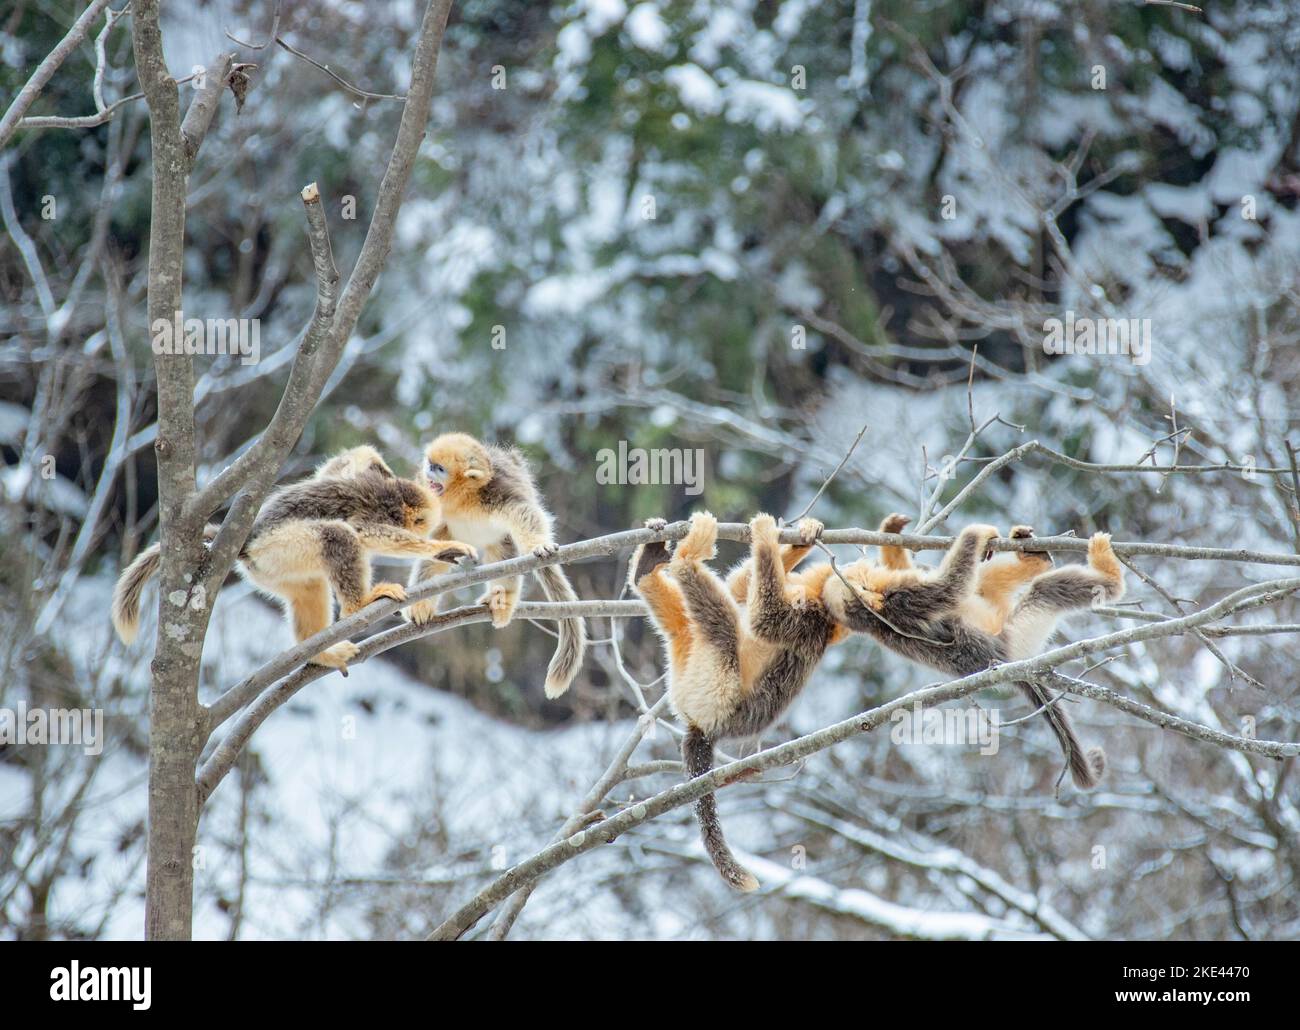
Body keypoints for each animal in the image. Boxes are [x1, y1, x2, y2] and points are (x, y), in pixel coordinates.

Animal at [111, 448, 477, 670]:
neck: (390, 496)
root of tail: (248, 542)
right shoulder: (374, 512)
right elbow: (363, 531)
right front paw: (442, 548)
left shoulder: (356, 472)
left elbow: (350, 459)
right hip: (278, 547)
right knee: (338, 534)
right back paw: (358, 605)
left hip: (275, 567)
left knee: (310, 588)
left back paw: (321, 651)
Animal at [402, 432, 587, 699]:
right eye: (430, 463)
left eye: (440, 468)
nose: (427, 470)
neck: (464, 499)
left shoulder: (497, 493)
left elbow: (525, 513)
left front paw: (538, 545)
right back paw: (422, 603)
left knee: (502, 553)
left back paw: (503, 598)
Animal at [627, 511, 848, 891]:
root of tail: (704, 729)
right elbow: (739, 588)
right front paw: (803, 537)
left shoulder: (809, 622)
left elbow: (765, 616)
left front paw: (765, 534)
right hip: (687, 665)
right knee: (690, 623)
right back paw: (648, 567)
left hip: (715, 686)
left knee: (725, 628)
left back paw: (686, 558)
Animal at [821, 514, 1125, 789]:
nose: (847, 566)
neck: (874, 615)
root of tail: (1007, 663)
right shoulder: (904, 600)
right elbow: (949, 587)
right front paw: (975, 532)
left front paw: (892, 533)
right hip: (1016, 634)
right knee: (1045, 589)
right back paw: (1109, 576)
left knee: (986, 582)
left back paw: (1034, 556)